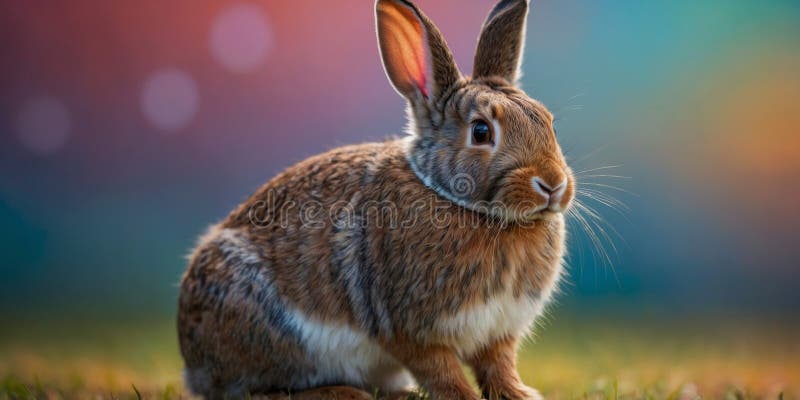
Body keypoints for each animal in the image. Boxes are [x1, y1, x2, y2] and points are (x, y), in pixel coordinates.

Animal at [177, 0, 575, 399]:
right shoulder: (410, 329)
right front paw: (463, 397)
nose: (553, 185)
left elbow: (498, 366)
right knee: (254, 390)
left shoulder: (498, 331)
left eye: (549, 123)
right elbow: (441, 371)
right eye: (480, 131)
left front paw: (521, 394)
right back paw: (343, 393)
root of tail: (193, 364)